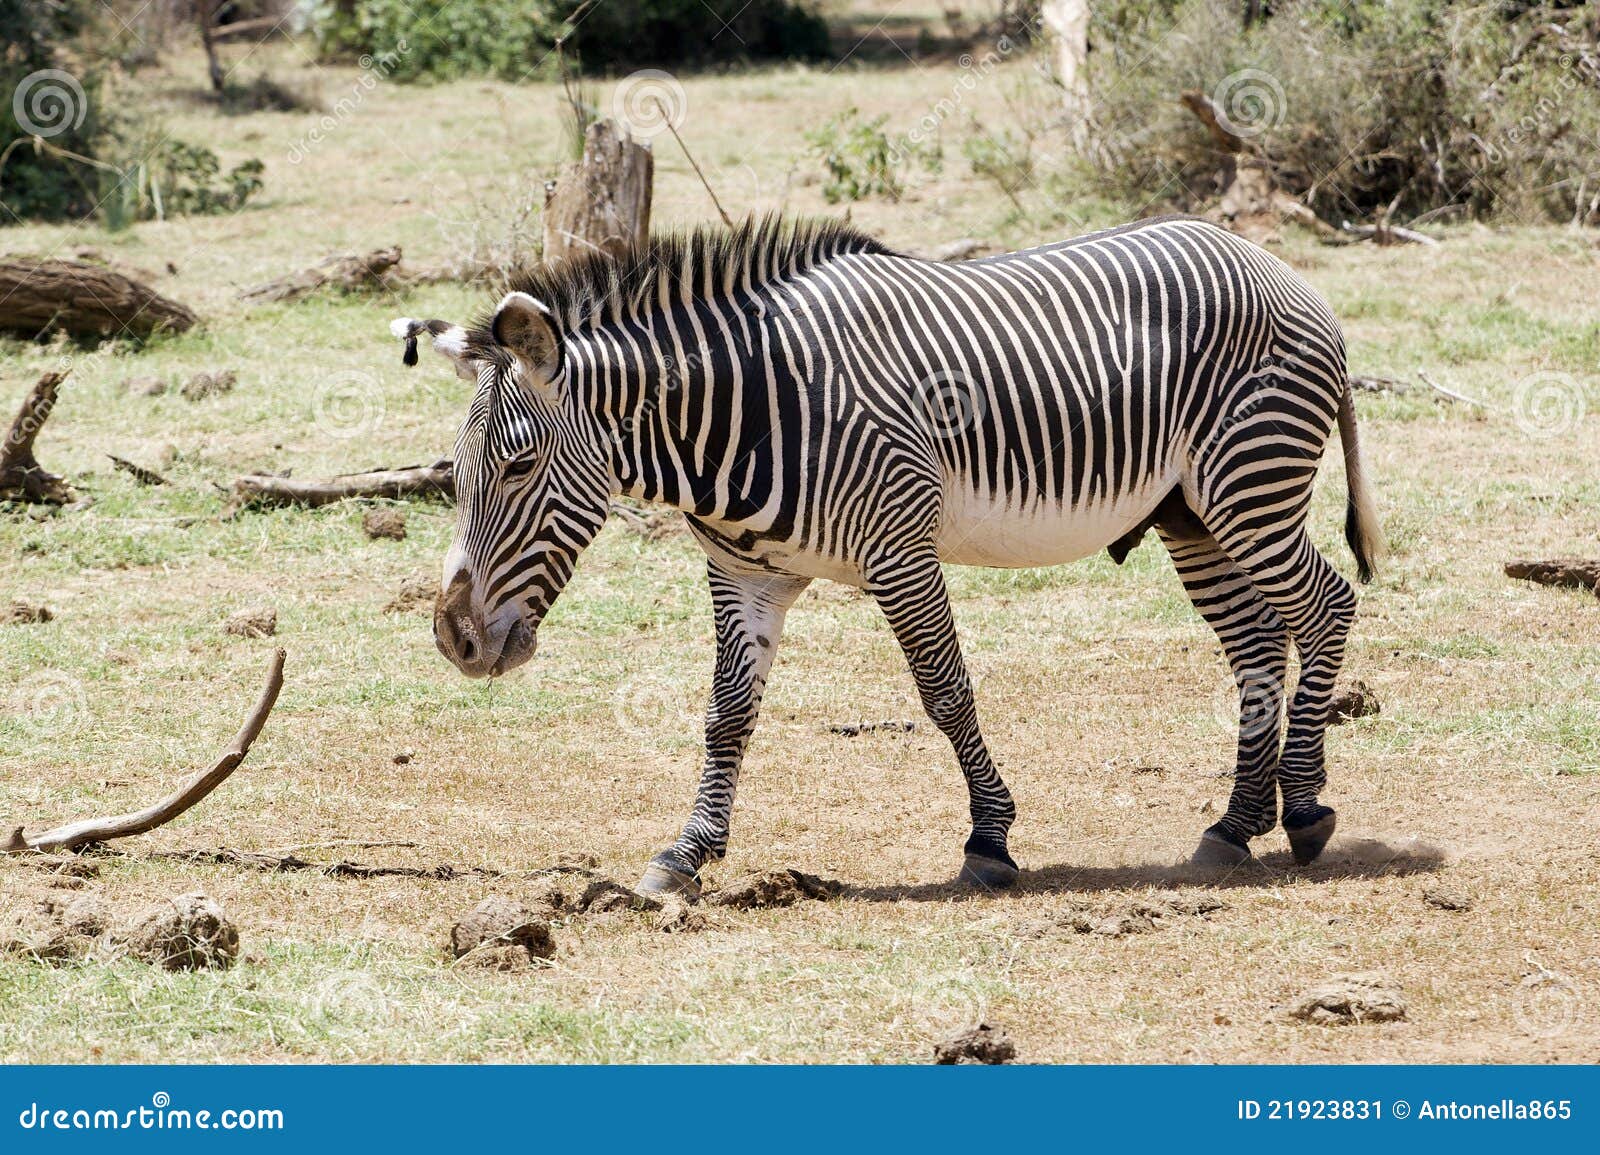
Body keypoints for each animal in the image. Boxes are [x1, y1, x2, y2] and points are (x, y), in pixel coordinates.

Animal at [393, 214, 1383, 899]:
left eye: (519, 466)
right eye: (457, 472)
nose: (454, 640)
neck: (752, 413)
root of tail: (1279, 268)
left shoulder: (900, 548)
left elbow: (946, 692)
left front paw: (990, 840)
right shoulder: (744, 572)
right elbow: (727, 715)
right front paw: (688, 852)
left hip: (1249, 483)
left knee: (1326, 606)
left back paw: (1305, 810)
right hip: (1193, 513)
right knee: (1256, 645)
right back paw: (1234, 826)